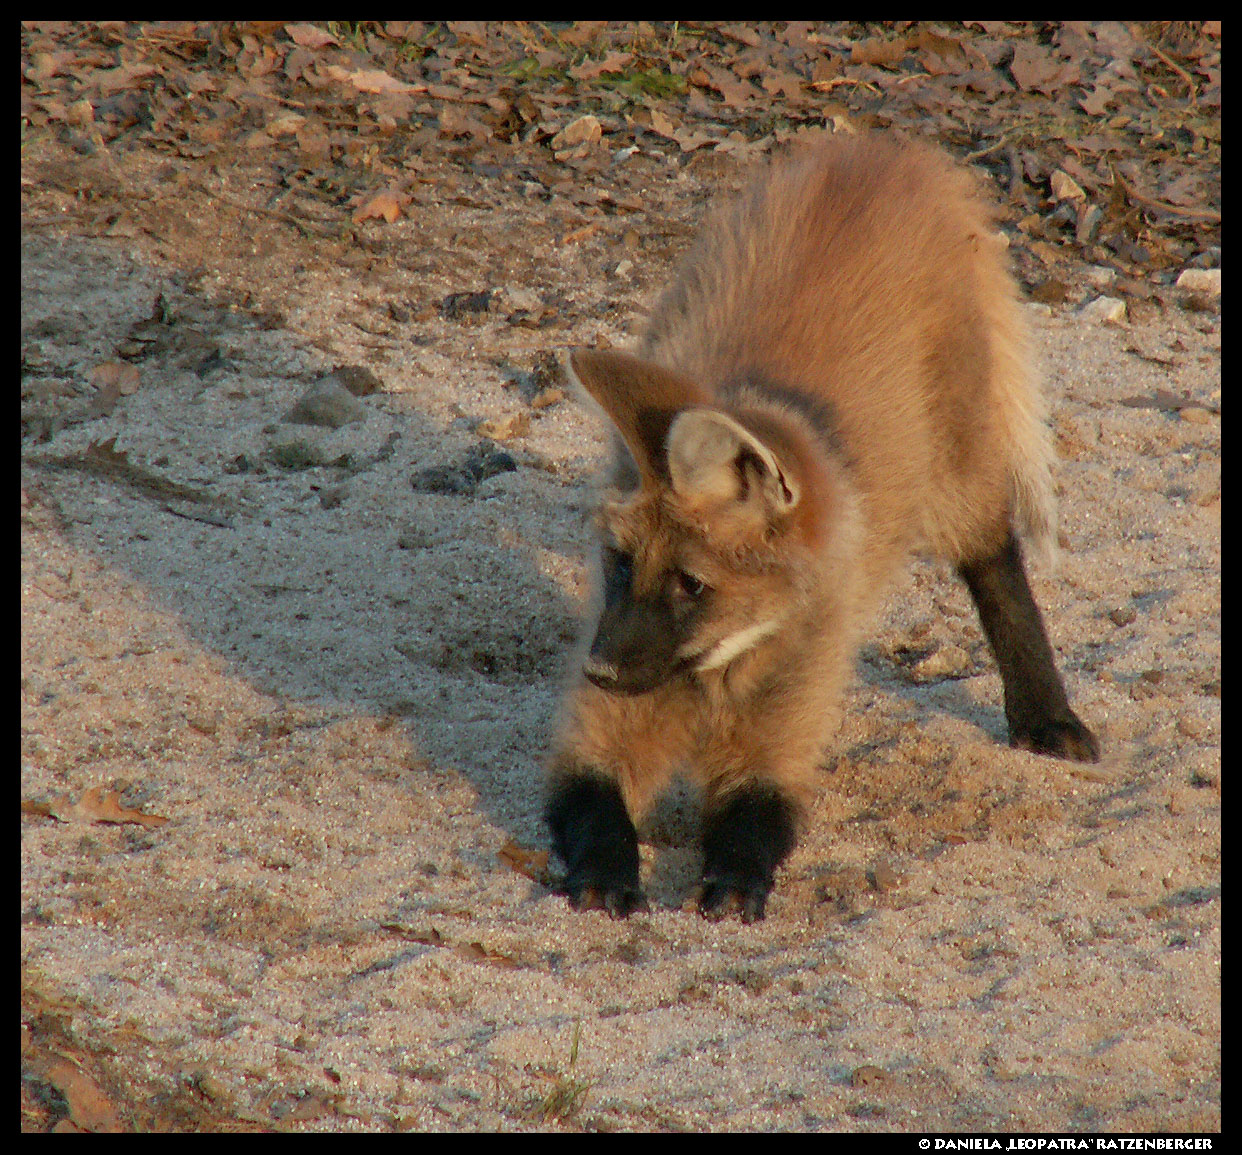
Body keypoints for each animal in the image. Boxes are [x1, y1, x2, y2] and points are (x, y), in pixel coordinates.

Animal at [545, 134, 1100, 922]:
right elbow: (591, 793)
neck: (713, 672)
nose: (600, 672)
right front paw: (601, 874)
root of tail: (893, 150)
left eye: (691, 583)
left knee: (992, 553)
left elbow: (756, 809)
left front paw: (734, 884)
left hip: (952, 469)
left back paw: (1046, 715)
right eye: (619, 562)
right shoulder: (604, 717)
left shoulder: (787, 712)